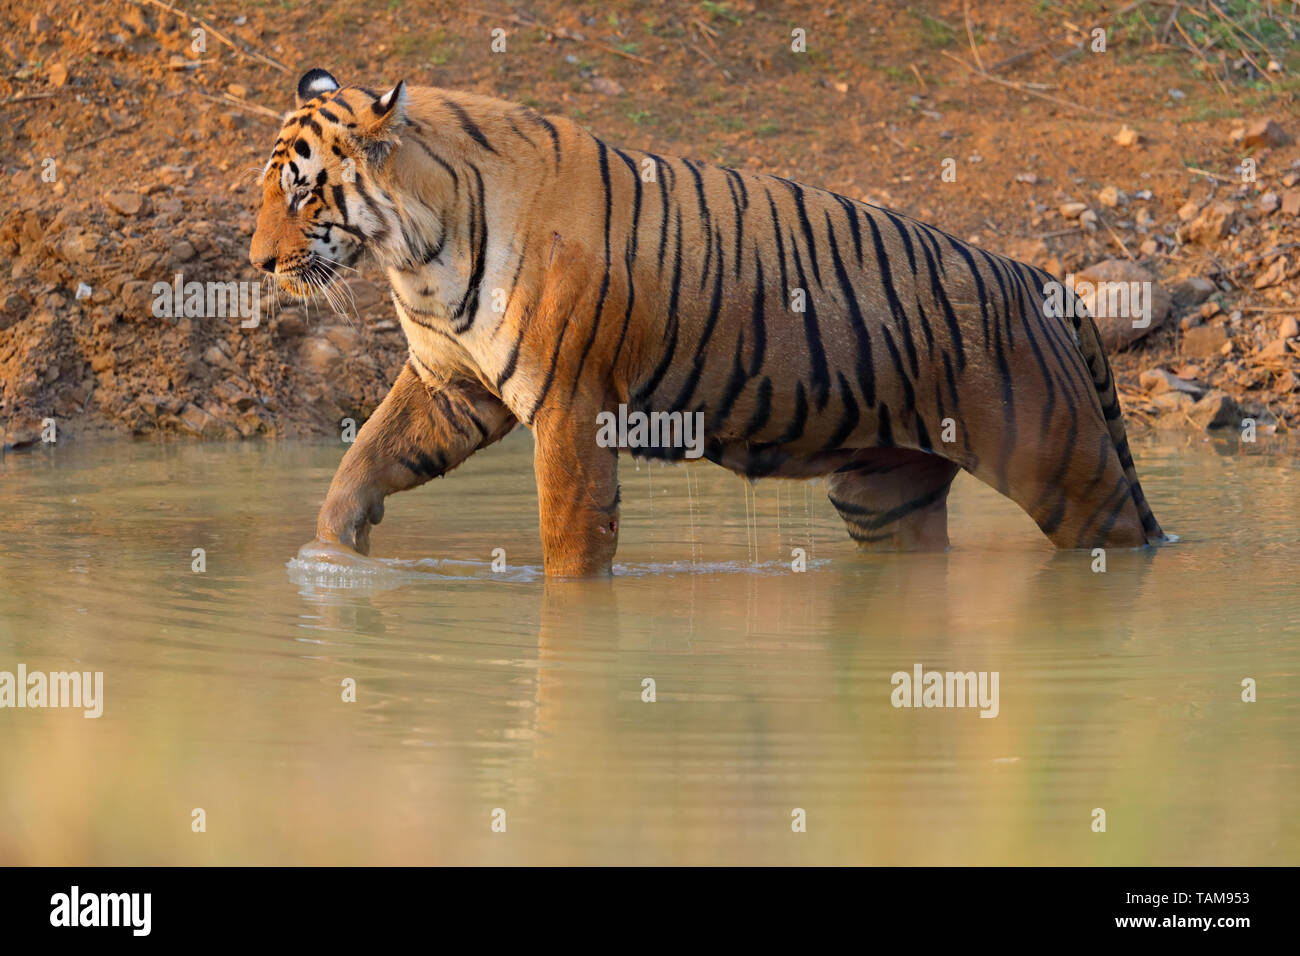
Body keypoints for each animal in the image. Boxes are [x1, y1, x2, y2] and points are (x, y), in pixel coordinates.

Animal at [249, 68, 1170, 577]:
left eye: (300, 192)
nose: (257, 263)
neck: (418, 251)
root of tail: (1039, 278)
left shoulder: (570, 409)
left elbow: (569, 546)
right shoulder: (451, 384)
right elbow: (364, 460)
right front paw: (334, 554)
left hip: (1062, 470)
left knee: (1123, 534)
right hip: (882, 496)